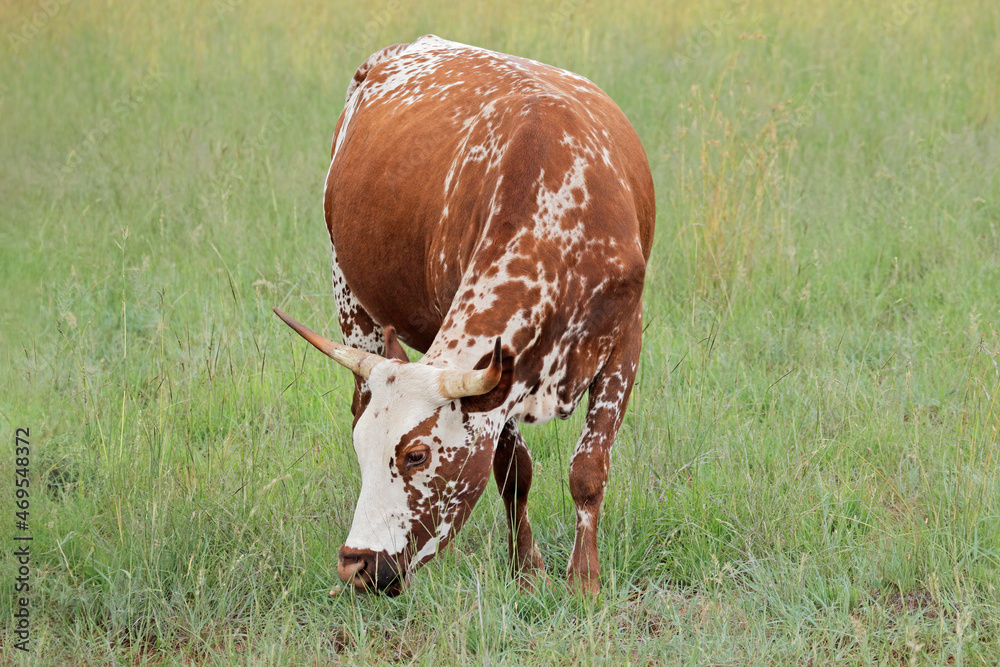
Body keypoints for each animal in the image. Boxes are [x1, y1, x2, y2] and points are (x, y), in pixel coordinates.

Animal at [274, 35, 655, 596]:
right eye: (361, 448)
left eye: (417, 454)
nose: (355, 565)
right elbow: (514, 470)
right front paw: (527, 570)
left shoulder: (624, 344)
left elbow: (588, 470)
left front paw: (583, 581)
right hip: (351, 297)